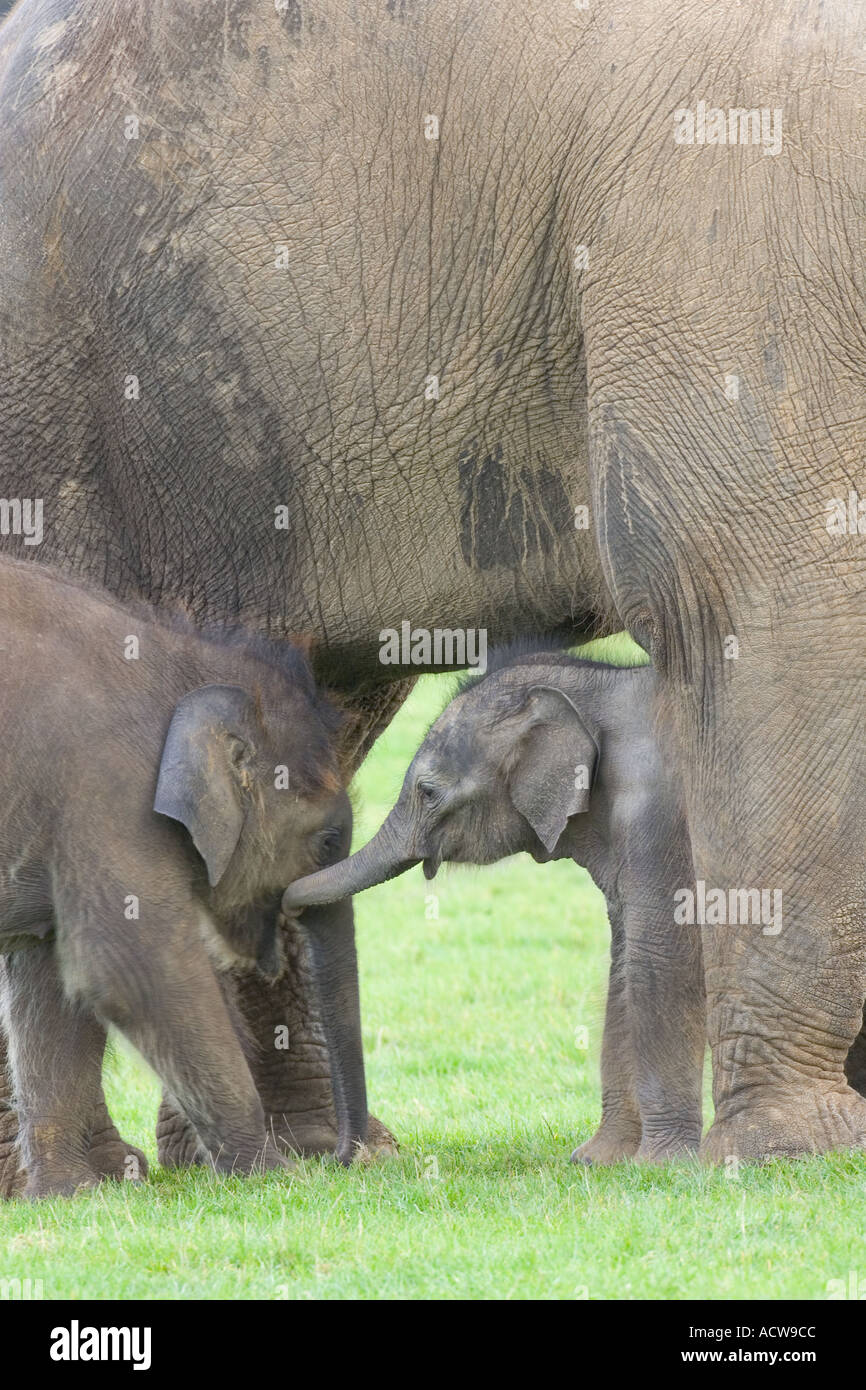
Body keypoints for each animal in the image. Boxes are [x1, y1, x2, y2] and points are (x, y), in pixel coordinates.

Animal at [0, 556, 366, 1197]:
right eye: (326, 840)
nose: (348, 1158)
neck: (185, 661)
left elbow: (50, 980)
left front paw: (70, 1198)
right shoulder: (108, 792)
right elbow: (131, 966)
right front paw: (275, 1176)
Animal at [283, 643, 706, 1162]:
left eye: (427, 792)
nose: (340, 1157)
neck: (599, 685)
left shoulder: (659, 814)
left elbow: (662, 956)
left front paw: (661, 1165)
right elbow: (626, 960)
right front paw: (599, 1160)